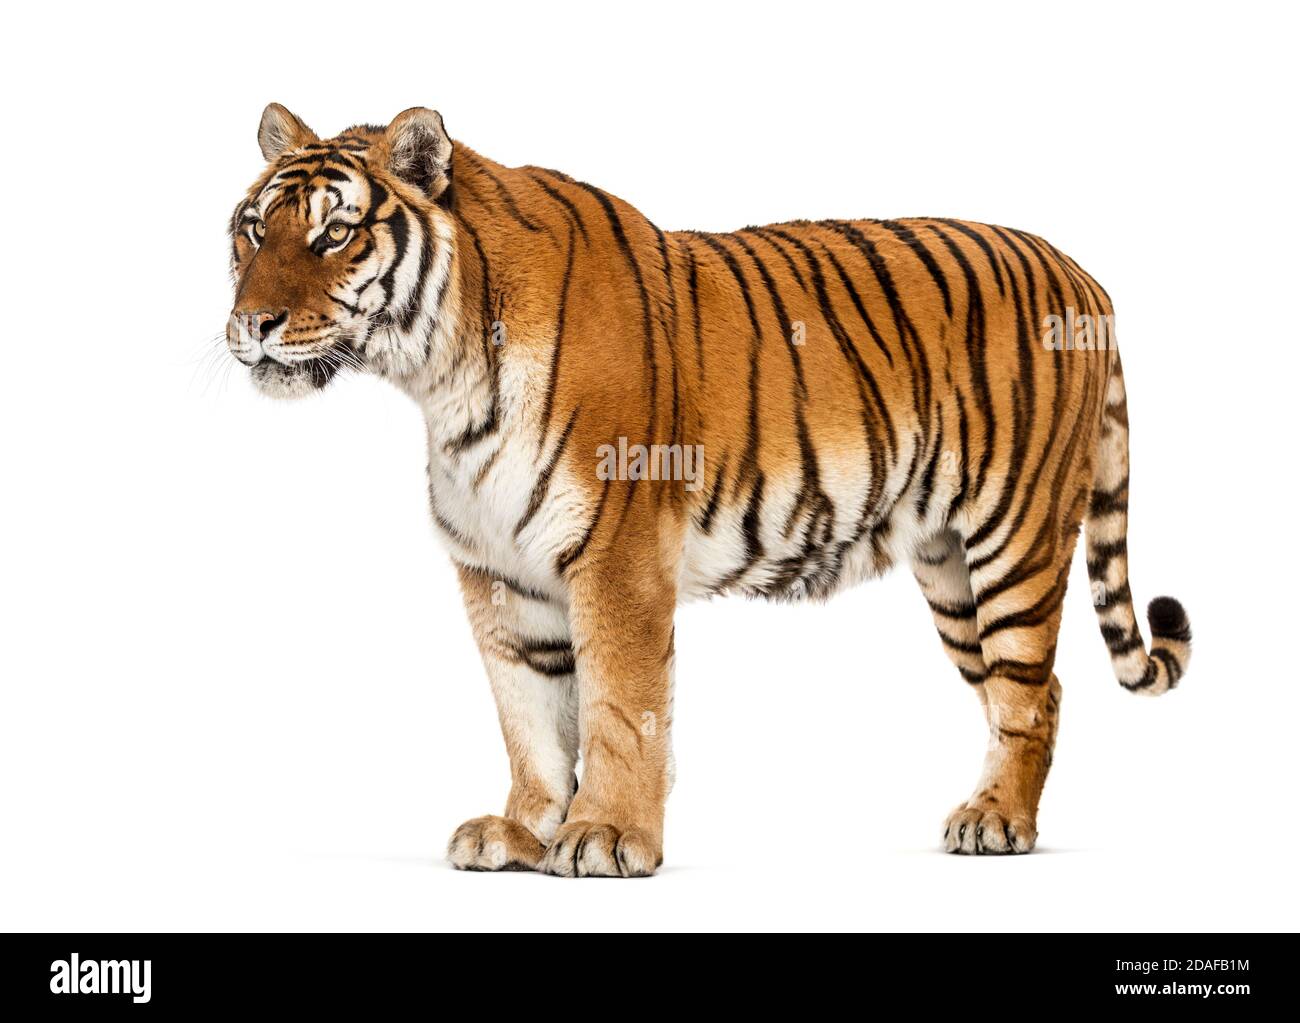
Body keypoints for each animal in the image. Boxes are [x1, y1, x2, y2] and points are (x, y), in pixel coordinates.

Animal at [225, 103, 1192, 876]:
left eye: (334, 234)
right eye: (253, 230)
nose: (252, 324)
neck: (441, 374)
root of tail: (1084, 275)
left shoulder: (616, 555)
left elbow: (620, 704)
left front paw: (606, 837)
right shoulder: (497, 571)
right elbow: (530, 717)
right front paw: (524, 831)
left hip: (1014, 538)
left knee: (1033, 692)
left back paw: (998, 824)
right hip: (951, 568)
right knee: (1014, 692)